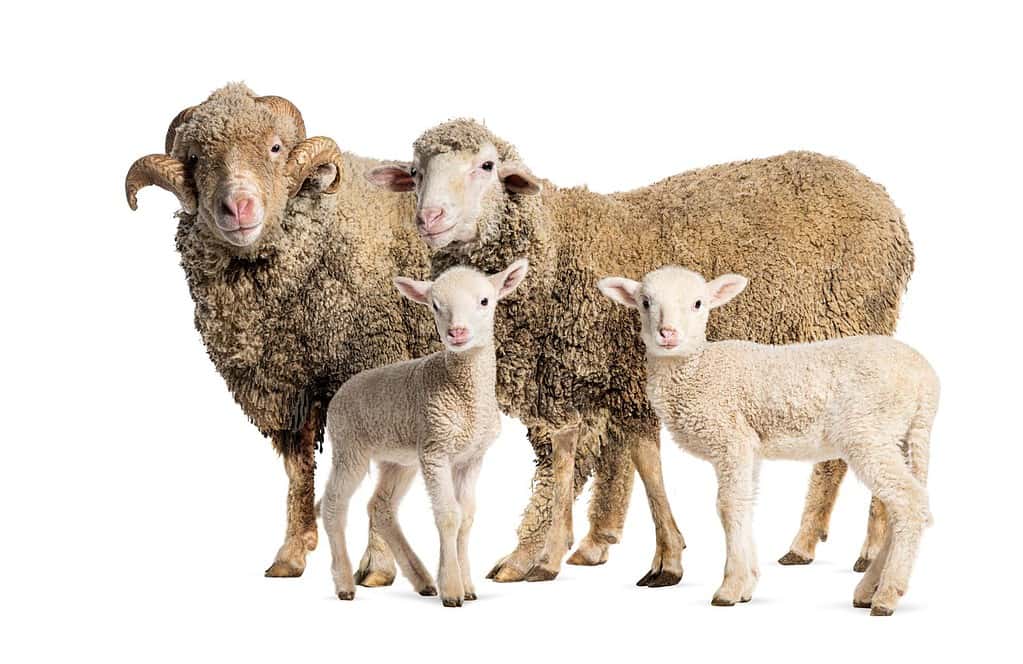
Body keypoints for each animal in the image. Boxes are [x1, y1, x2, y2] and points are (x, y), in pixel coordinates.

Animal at [124, 83, 438, 580]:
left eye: (275, 148)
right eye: (194, 158)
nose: (238, 207)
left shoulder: (379, 363)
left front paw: (376, 564)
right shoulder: (285, 387)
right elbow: (297, 467)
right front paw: (292, 551)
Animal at [322, 260, 529, 606]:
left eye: (485, 301)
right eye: (435, 306)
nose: (457, 332)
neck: (463, 393)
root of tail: (341, 390)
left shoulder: (471, 458)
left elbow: (466, 517)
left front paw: (467, 586)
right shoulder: (436, 450)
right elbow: (448, 515)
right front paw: (453, 590)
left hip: (399, 459)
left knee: (381, 507)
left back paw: (421, 579)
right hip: (350, 445)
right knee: (333, 504)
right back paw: (344, 585)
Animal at [367, 119, 915, 583]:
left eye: (486, 166)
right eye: (415, 171)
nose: (429, 217)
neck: (553, 255)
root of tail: (878, 194)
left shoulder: (628, 378)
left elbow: (639, 461)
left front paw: (662, 558)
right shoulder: (571, 381)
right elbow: (570, 461)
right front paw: (548, 553)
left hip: (852, 325)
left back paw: (844, 545)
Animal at [598, 267, 938, 615]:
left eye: (698, 303)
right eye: (645, 302)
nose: (668, 334)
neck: (698, 370)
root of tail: (926, 380)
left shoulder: (730, 438)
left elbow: (728, 506)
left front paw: (730, 588)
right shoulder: (749, 446)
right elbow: (746, 504)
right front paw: (748, 584)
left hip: (869, 433)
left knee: (909, 503)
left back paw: (886, 595)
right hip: (899, 436)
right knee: (908, 505)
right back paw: (870, 589)